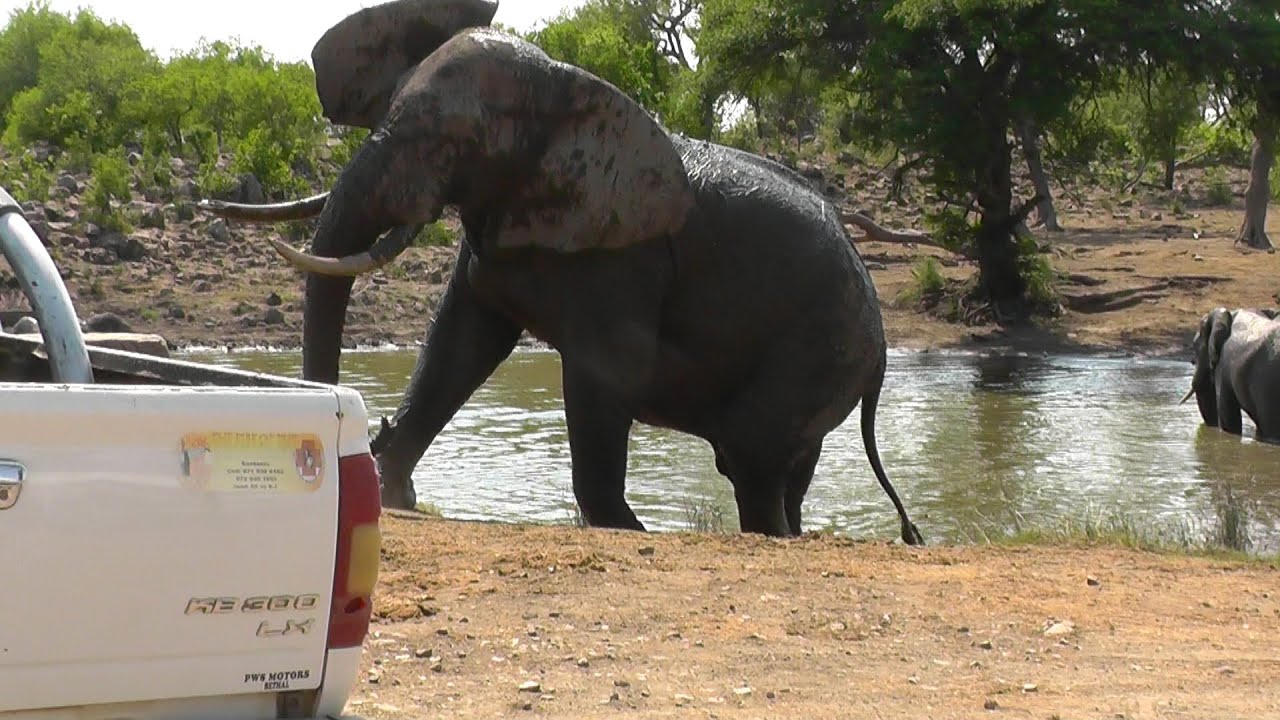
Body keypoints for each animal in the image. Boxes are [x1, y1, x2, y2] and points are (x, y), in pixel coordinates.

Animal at [201, 0, 926, 544]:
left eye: (452, 142)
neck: (565, 87)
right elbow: (462, 338)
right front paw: (394, 488)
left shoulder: (623, 256)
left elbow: (605, 368)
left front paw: (624, 529)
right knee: (782, 468)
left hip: (824, 343)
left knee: (749, 458)